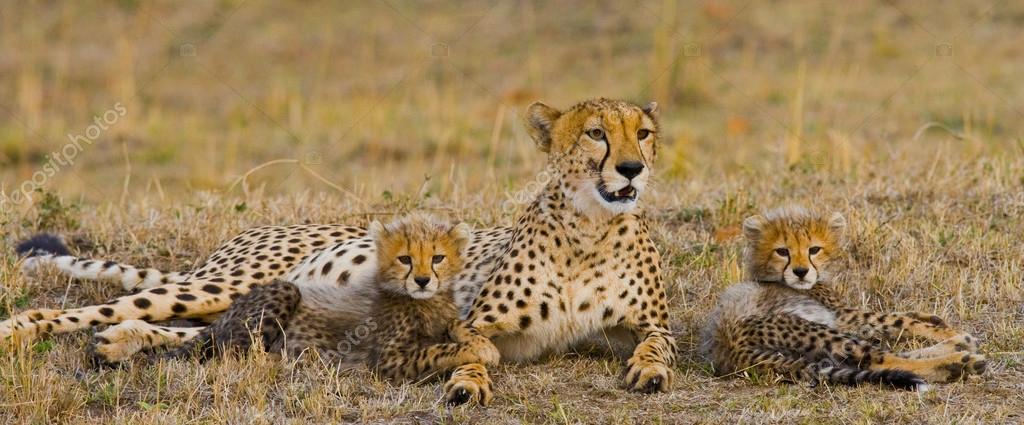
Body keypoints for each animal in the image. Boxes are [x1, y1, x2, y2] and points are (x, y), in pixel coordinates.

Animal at [2, 98, 675, 407]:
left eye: (643, 133)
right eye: (596, 134)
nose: (633, 169)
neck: (590, 232)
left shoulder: (649, 322)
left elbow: (656, 344)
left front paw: (649, 371)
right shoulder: (476, 322)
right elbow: (477, 351)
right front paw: (467, 384)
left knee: (207, 336)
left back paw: (118, 345)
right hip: (223, 284)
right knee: (84, 309)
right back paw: (22, 331)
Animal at [700, 206, 986, 391]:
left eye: (814, 249)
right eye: (782, 251)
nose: (801, 272)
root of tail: (730, 350)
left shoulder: (843, 317)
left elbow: (903, 316)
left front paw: (938, 322)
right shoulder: (843, 316)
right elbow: (895, 319)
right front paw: (944, 330)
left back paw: (958, 345)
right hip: (818, 332)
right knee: (881, 359)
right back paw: (957, 362)